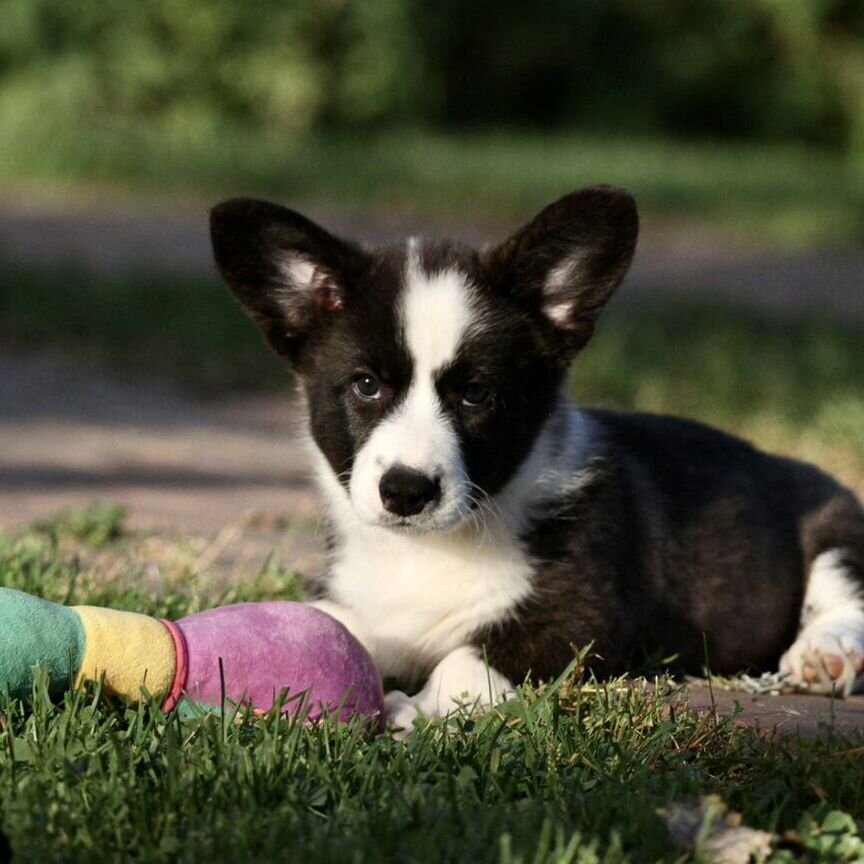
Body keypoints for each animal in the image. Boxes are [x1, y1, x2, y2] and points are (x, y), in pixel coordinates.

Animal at [209, 187, 864, 728]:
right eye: (366, 386)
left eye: (476, 394)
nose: (405, 491)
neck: (429, 550)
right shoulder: (354, 598)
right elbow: (331, 623)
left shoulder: (578, 618)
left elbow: (470, 658)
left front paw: (416, 710)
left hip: (835, 517)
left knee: (842, 590)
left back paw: (826, 653)